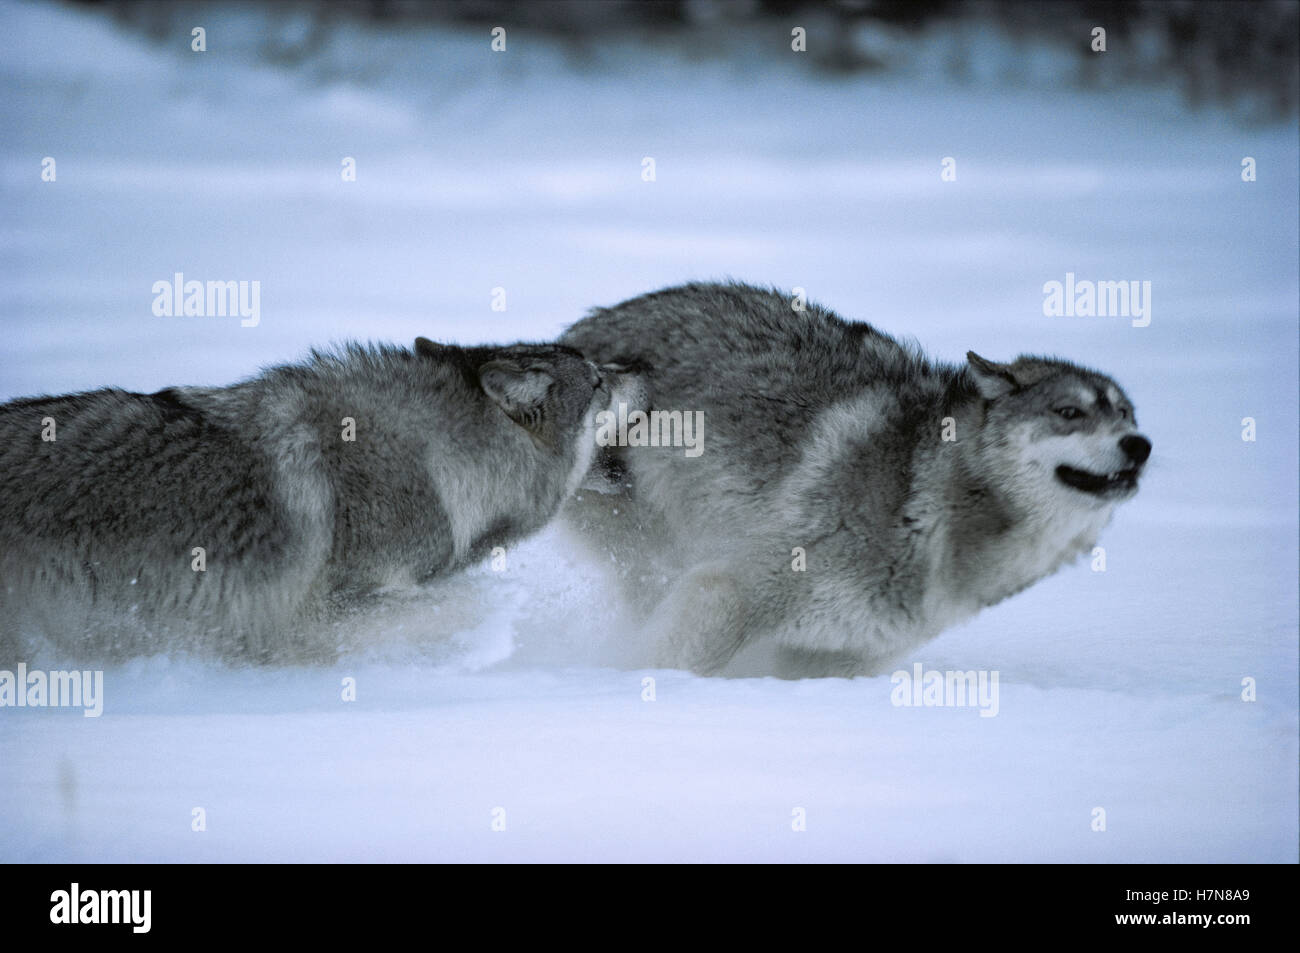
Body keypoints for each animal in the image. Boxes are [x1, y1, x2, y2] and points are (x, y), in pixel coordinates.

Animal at [561, 282, 1152, 677]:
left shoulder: (831, 657)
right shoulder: (728, 591)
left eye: (1126, 415)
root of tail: (577, 332)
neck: (928, 505)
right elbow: (667, 663)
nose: (1140, 447)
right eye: (1070, 413)